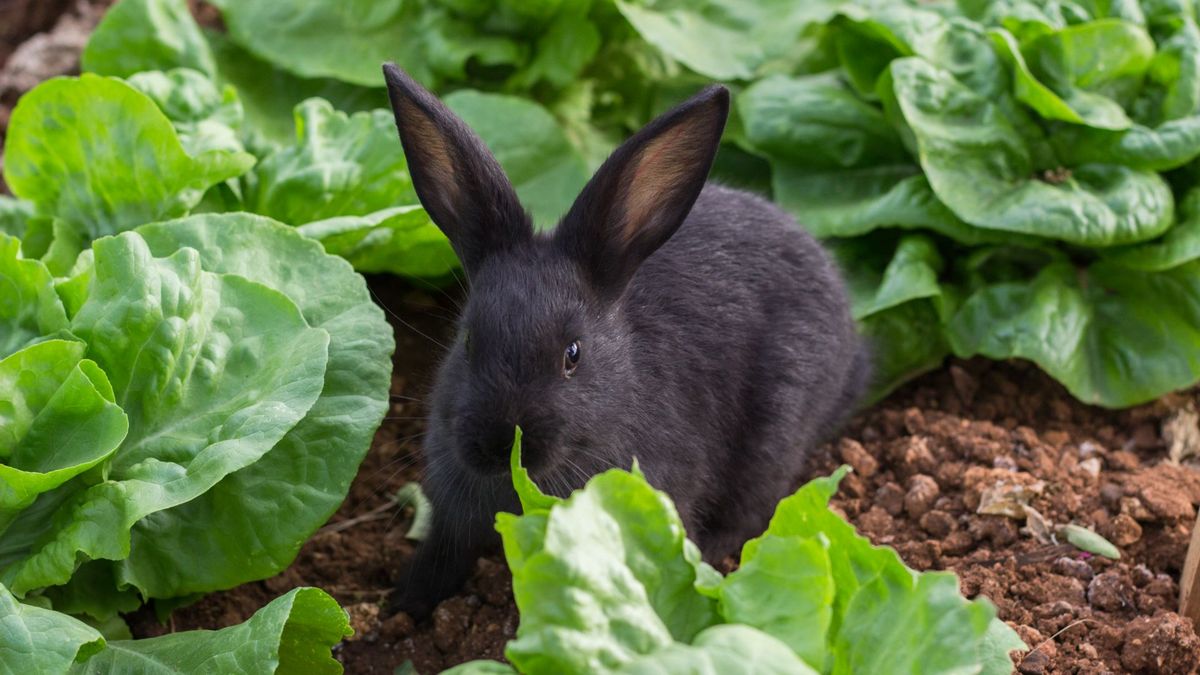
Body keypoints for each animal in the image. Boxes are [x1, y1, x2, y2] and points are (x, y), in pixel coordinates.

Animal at [381, 63, 871, 619]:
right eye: (466, 341)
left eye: (573, 355)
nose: (500, 444)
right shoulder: (451, 516)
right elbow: (441, 556)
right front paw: (403, 604)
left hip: (778, 431)